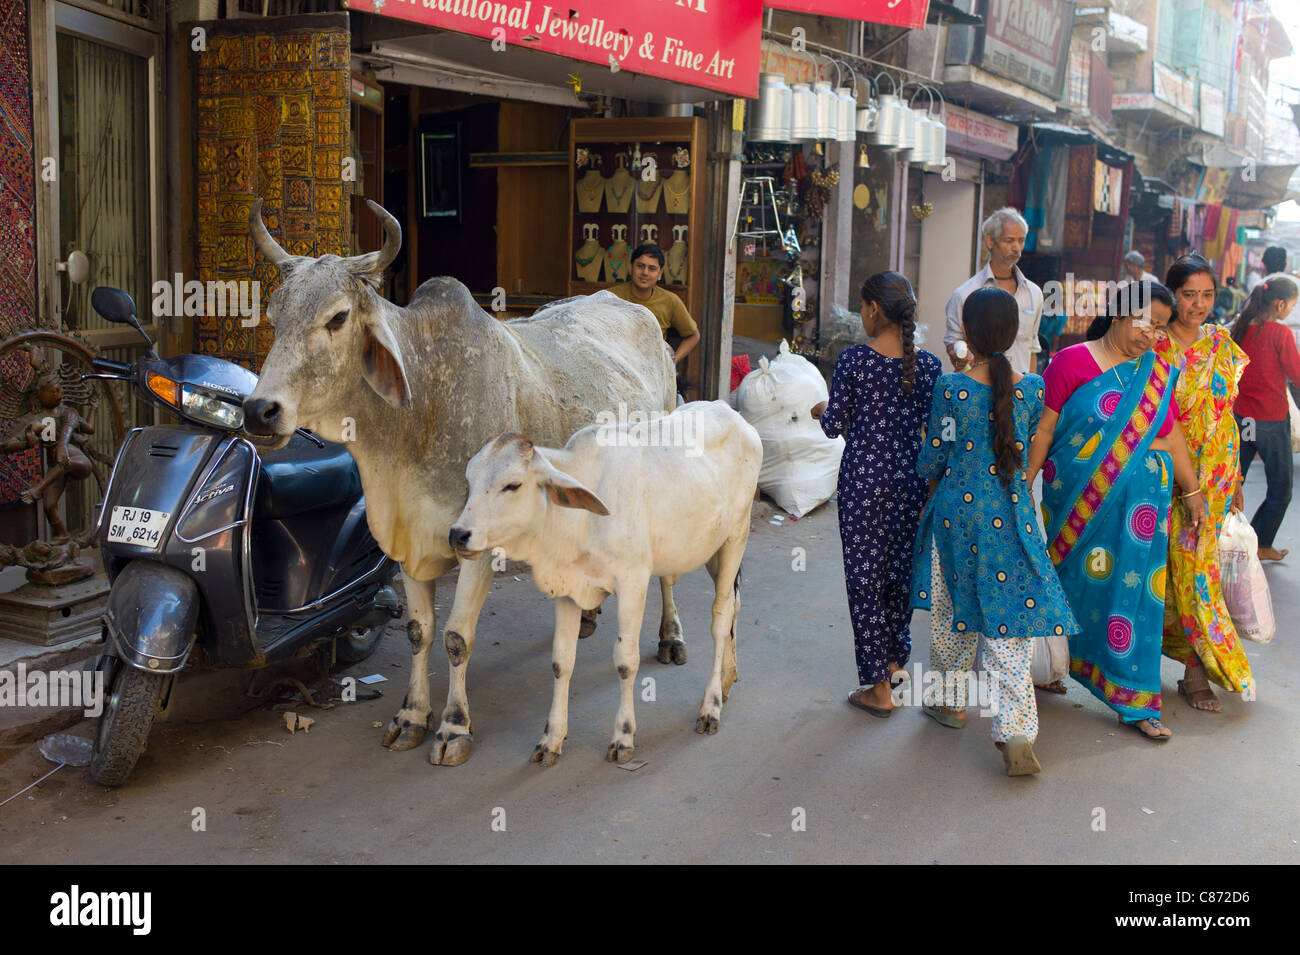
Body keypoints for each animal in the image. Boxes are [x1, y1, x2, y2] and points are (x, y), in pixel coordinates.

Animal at [241, 199, 684, 766]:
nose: (259, 411)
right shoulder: (409, 544)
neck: (420, 414)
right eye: (274, 317)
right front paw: (411, 716)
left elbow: (455, 638)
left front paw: (453, 727)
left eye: (337, 318)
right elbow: (418, 631)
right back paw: (586, 617)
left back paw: (671, 638)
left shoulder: (476, 546)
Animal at [448, 401, 762, 765]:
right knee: (735, 605)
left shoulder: (633, 583)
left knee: (721, 617)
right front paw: (551, 739)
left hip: (736, 537)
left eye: (512, 485)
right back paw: (726, 679)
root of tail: (729, 410)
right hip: (713, 548)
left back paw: (710, 706)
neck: (578, 521)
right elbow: (561, 662)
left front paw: (623, 737)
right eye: (469, 480)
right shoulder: (568, 591)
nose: (458, 534)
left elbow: (626, 662)